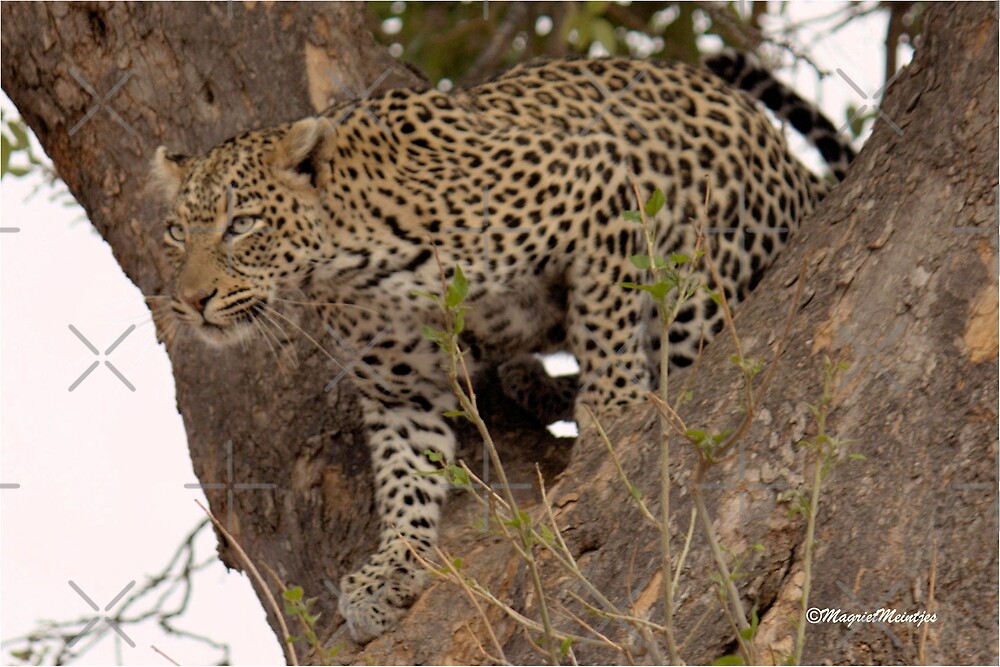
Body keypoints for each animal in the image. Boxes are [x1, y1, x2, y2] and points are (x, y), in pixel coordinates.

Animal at [151, 49, 854, 642]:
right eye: (175, 233)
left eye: (242, 225)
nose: (191, 301)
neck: (350, 262)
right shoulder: (398, 391)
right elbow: (405, 479)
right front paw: (391, 570)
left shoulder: (599, 186)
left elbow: (605, 316)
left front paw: (613, 407)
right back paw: (534, 382)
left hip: (702, 268)